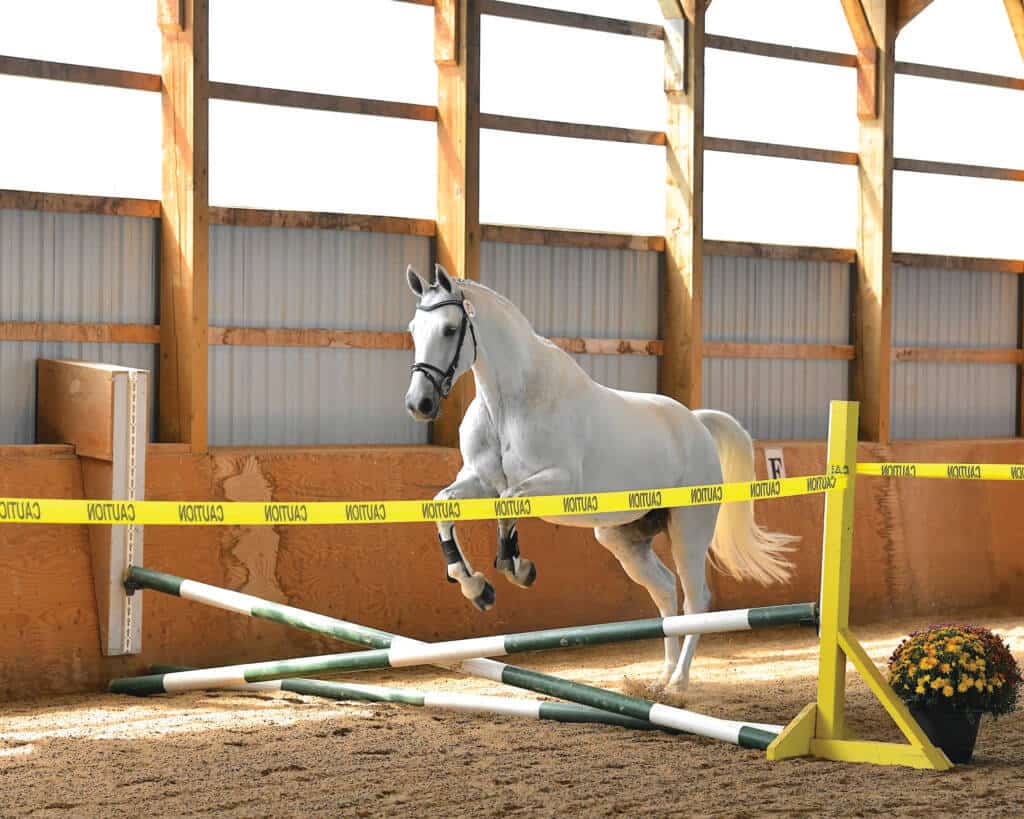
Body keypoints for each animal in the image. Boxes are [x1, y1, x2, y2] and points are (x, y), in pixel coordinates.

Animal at [403, 264, 797, 690]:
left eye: (449, 329)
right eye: (413, 329)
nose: (419, 404)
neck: (511, 403)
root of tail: (697, 425)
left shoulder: (555, 484)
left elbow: (508, 505)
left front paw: (518, 570)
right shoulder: (478, 481)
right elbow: (444, 506)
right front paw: (477, 588)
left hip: (688, 531)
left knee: (697, 600)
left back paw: (678, 683)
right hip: (622, 538)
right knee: (665, 590)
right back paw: (661, 677)